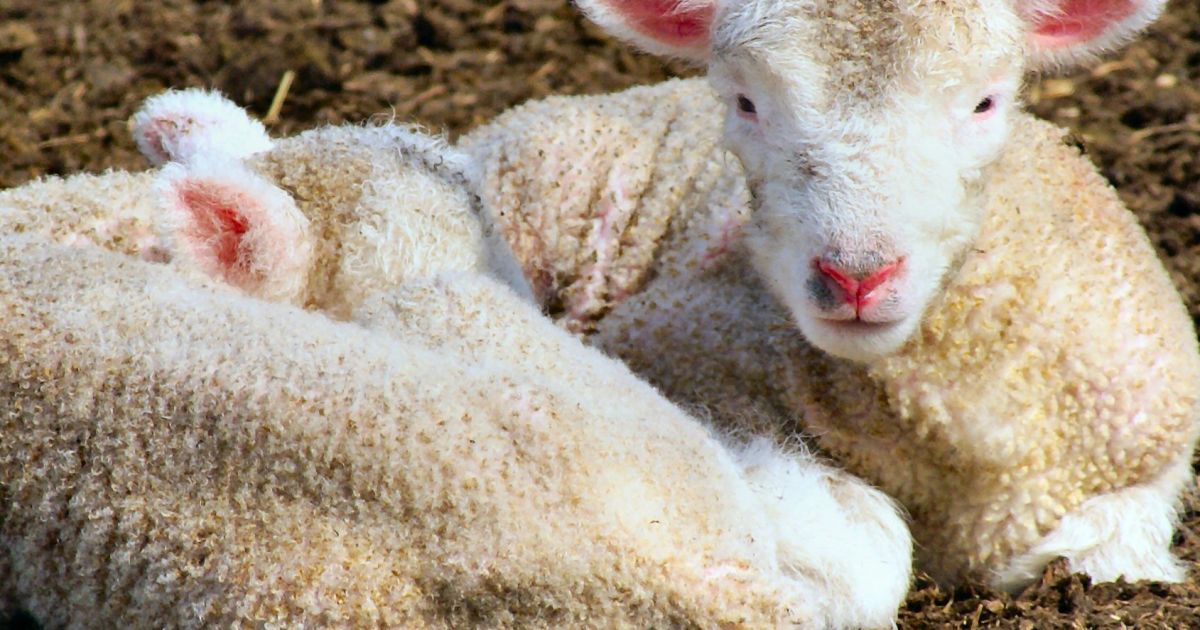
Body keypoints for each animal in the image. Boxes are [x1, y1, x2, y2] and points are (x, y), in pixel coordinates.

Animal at [461, 0, 1200, 591]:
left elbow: (1106, 543)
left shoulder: (1156, 430)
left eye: (984, 102)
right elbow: (867, 536)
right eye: (746, 103)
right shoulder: (672, 346)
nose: (856, 276)